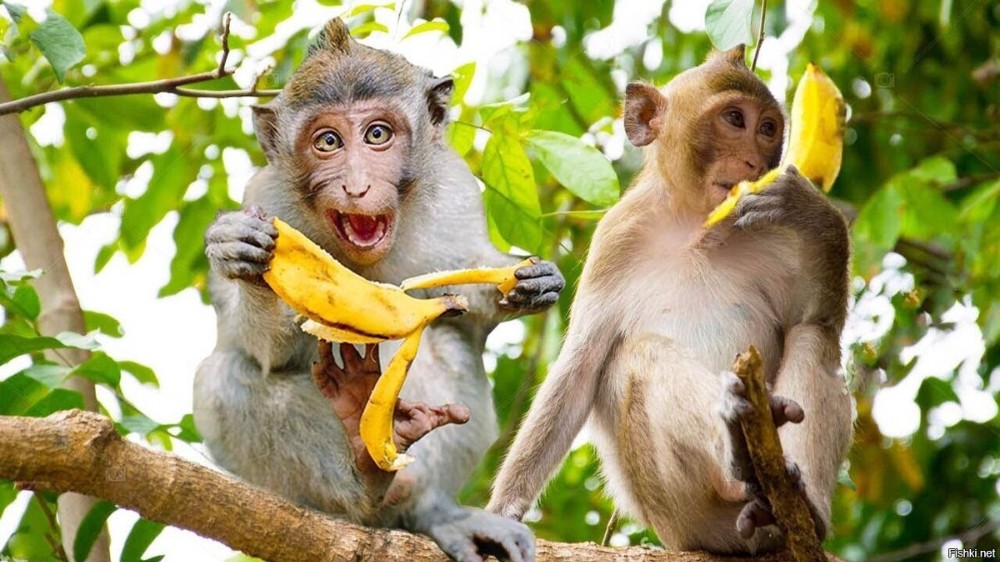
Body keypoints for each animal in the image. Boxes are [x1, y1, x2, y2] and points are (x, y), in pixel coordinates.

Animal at [193, 18, 564, 562]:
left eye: (377, 135)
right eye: (327, 141)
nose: (357, 186)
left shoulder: (454, 188)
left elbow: (469, 299)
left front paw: (526, 284)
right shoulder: (265, 197)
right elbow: (261, 352)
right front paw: (241, 252)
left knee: (445, 341)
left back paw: (430, 509)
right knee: (225, 379)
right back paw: (362, 478)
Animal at [487, 46, 853, 554]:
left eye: (767, 129)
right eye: (734, 119)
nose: (752, 162)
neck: (694, 224)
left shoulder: (773, 232)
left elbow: (820, 319)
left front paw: (811, 210)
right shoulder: (615, 240)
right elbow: (580, 369)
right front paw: (502, 511)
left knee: (813, 339)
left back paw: (800, 508)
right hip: (681, 514)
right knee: (638, 355)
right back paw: (736, 455)